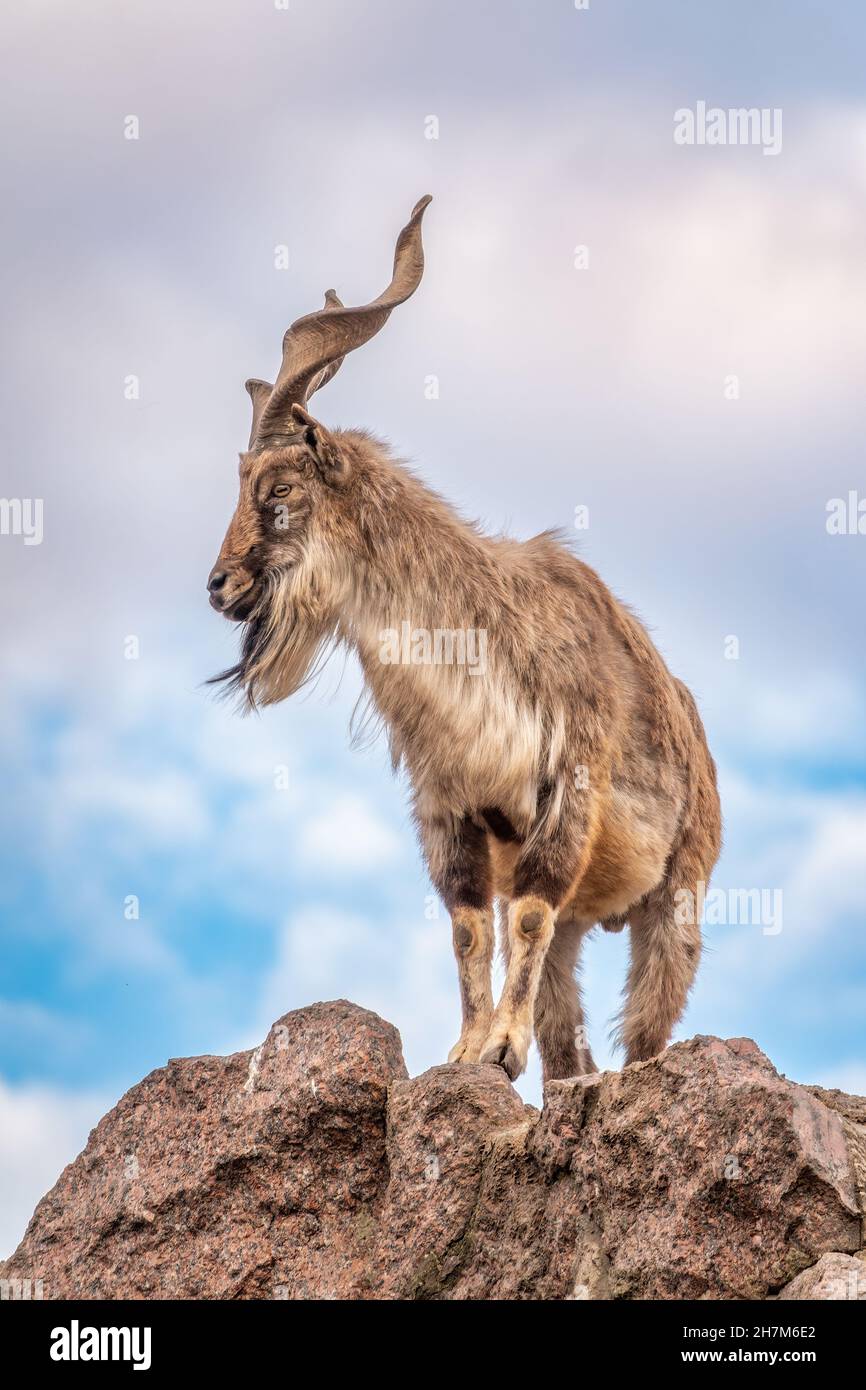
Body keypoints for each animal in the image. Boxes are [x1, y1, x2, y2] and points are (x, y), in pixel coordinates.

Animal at [208, 196, 722, 1082]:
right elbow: (471, 927)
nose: (219, 587)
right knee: (567, 1022)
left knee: (647, 1021)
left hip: (677, 890)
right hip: (591, 918)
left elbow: (525, 915)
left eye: (279, 489)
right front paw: (467, 1050)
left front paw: (501, 1050)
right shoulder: (449, 810)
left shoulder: (567, 789)